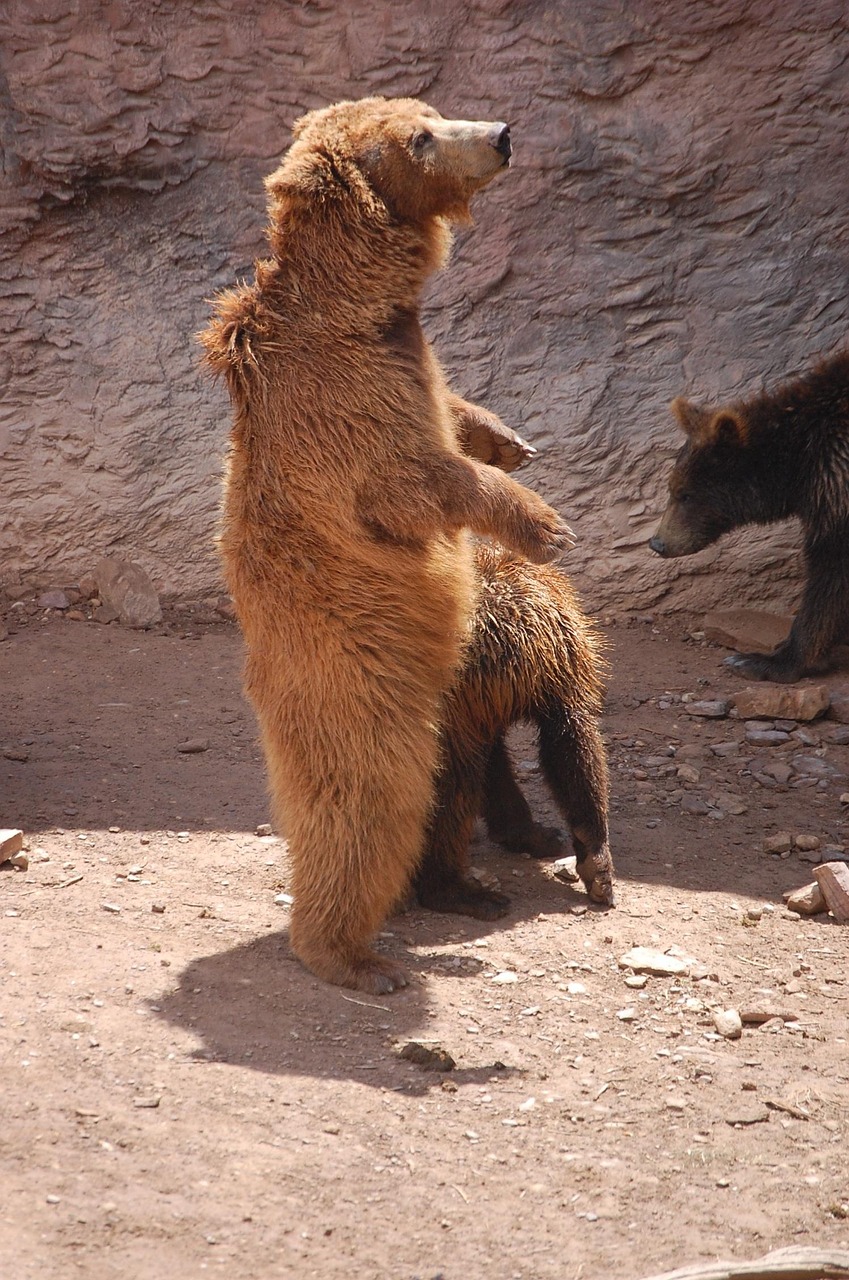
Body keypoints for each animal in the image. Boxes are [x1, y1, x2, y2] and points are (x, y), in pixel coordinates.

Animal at [200, 96, 573, 994]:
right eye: (421, 137)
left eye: (432, 111)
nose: (503, 135)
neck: (362, 311)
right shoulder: (344, 407)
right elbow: (420, 482)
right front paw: (544, 522)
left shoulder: (405, 358)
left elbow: (458, 412)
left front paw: (509, 438)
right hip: (355, 684)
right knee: (367, 802)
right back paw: (353, 955)